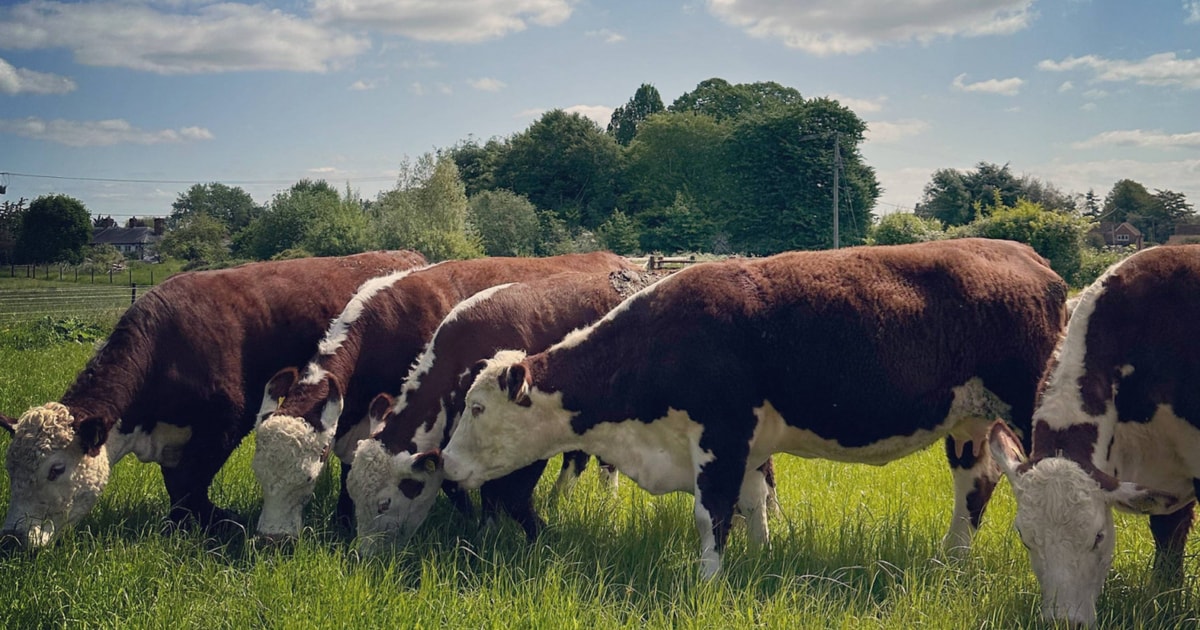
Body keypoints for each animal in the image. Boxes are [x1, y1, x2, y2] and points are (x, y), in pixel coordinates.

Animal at [0, 251, 427, 548]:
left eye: (55, 469)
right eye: (10, 468)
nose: (11, 539)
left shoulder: (224, 424)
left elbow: (191, 483)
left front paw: (215, 522)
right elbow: (178, 485)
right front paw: (182, 525)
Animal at [349, 270, 672, 552]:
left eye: (384, 503)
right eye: (352, 495)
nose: (365, 554)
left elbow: (510, 497)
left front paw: (537, 535)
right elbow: (464, 488)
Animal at [439, 238, 1068, 578]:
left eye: (476, 408)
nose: (443, 463)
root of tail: (1025, 254)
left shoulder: (720, 432)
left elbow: (713, 512)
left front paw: (708, 582)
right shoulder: (743, 443)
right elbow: (752, 504)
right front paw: (762, 563)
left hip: (1027, 408)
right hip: (969, 420)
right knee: (975, 485)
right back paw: (951, 559)